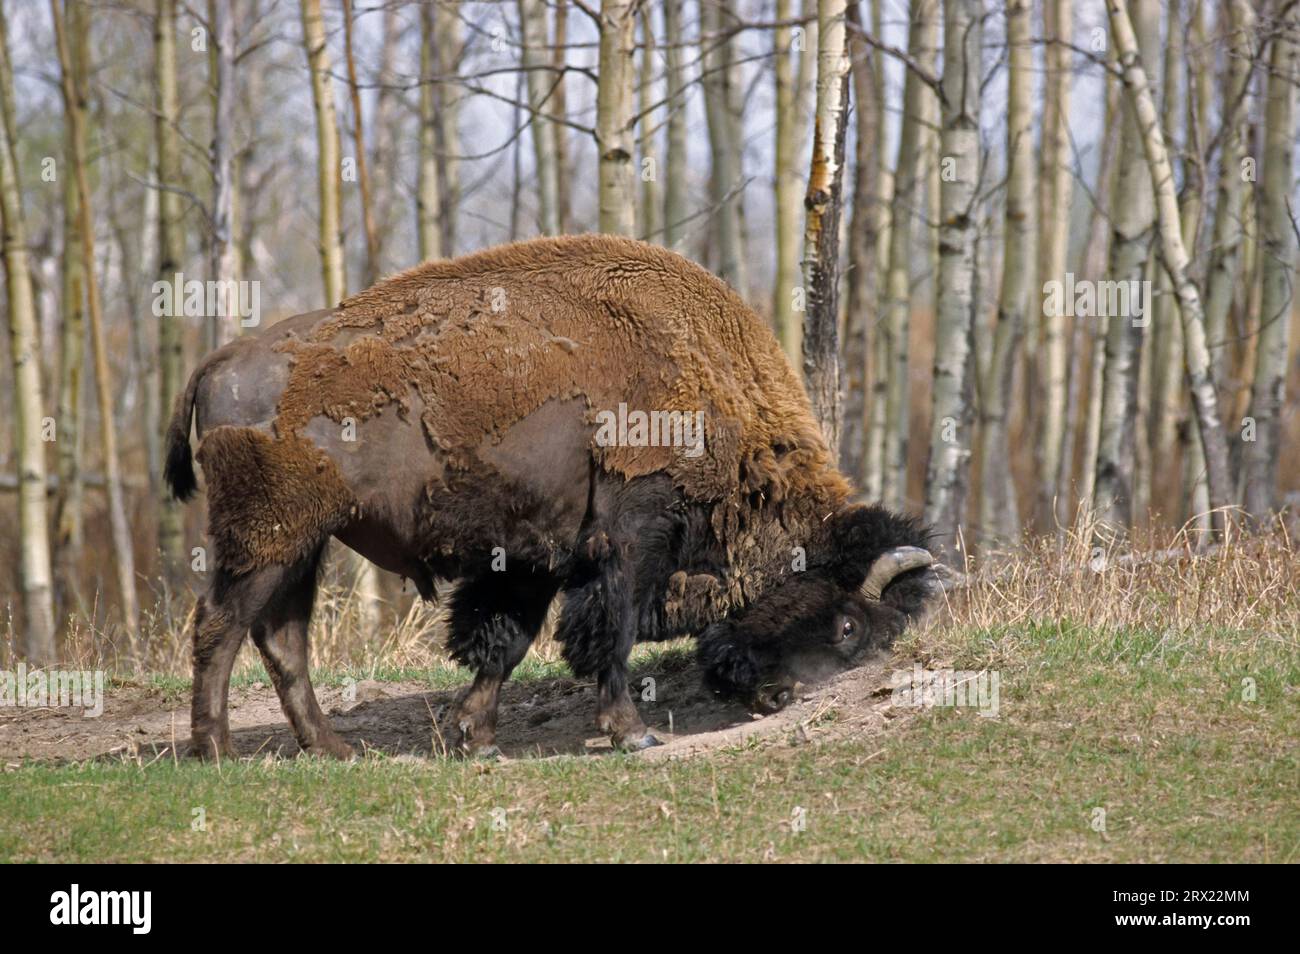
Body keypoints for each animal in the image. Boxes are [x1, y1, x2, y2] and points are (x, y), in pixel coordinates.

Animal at [164, 234, 940, 759]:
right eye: (847, 626)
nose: (783, 697)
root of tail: (222, 359)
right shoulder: (625, 544)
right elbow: (606, 638)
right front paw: (633, 735)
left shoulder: (535, 558)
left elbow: (503, 643)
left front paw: (475, 737)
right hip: (267, 537)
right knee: (220, 626)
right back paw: (217, 751)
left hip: (303, 543)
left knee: (279, 637)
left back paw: (332, 749)